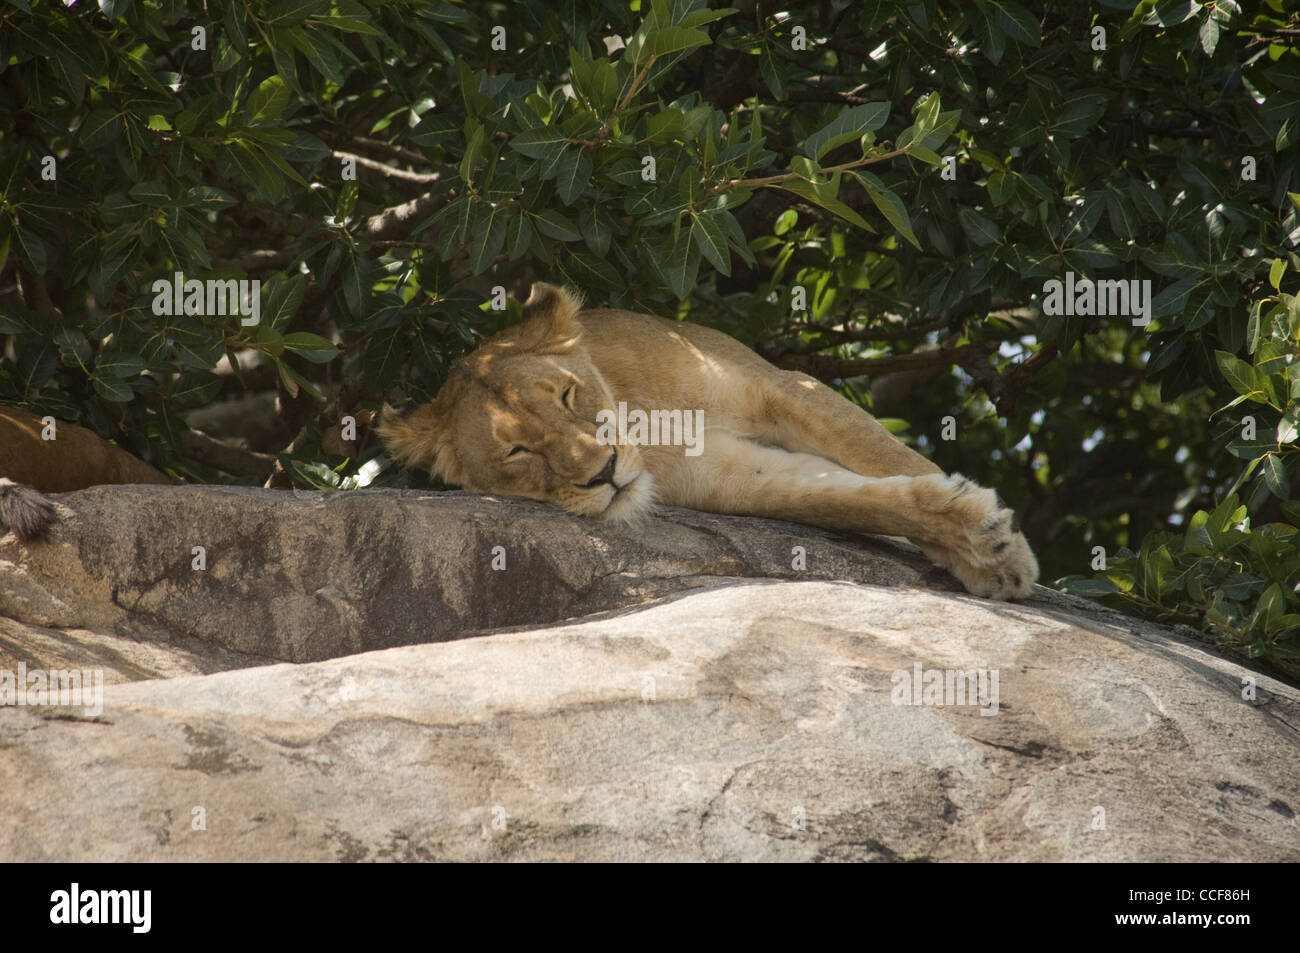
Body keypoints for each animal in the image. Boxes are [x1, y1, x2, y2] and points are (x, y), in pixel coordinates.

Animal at [378, 282, 1039, 599]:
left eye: (567, 395)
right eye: (519, 452)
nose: (604, 472)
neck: (643, 418)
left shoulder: (781, 385)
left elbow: (888, 455)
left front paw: (1002, 554)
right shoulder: (725, 474)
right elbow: (840, 500)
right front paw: (983, 546)